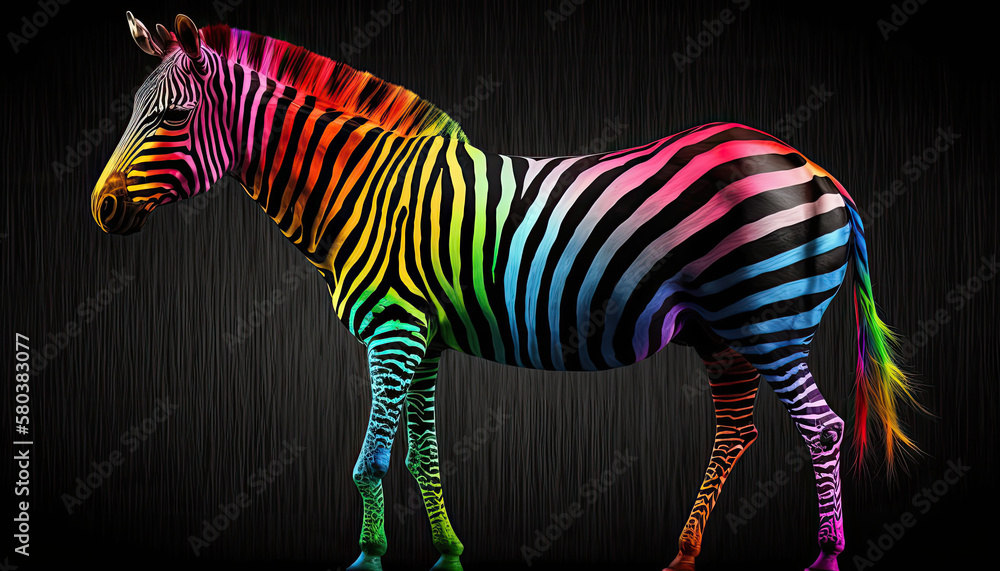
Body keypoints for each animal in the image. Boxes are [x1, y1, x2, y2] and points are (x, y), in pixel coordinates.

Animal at [92, 13, 923, 571]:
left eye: (171, 117)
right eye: (129, 111)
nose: (98, 209)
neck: (357, 188)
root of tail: (817, 170)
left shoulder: (393, 329)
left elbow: (371, 457)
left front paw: (367, 556)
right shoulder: (421, 339)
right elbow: (420, 451)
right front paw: (448, 549)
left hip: (771, 318)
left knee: (821, 428)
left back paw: (826, 553)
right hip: (725, 333)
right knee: (737, 431)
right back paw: (685, 551)